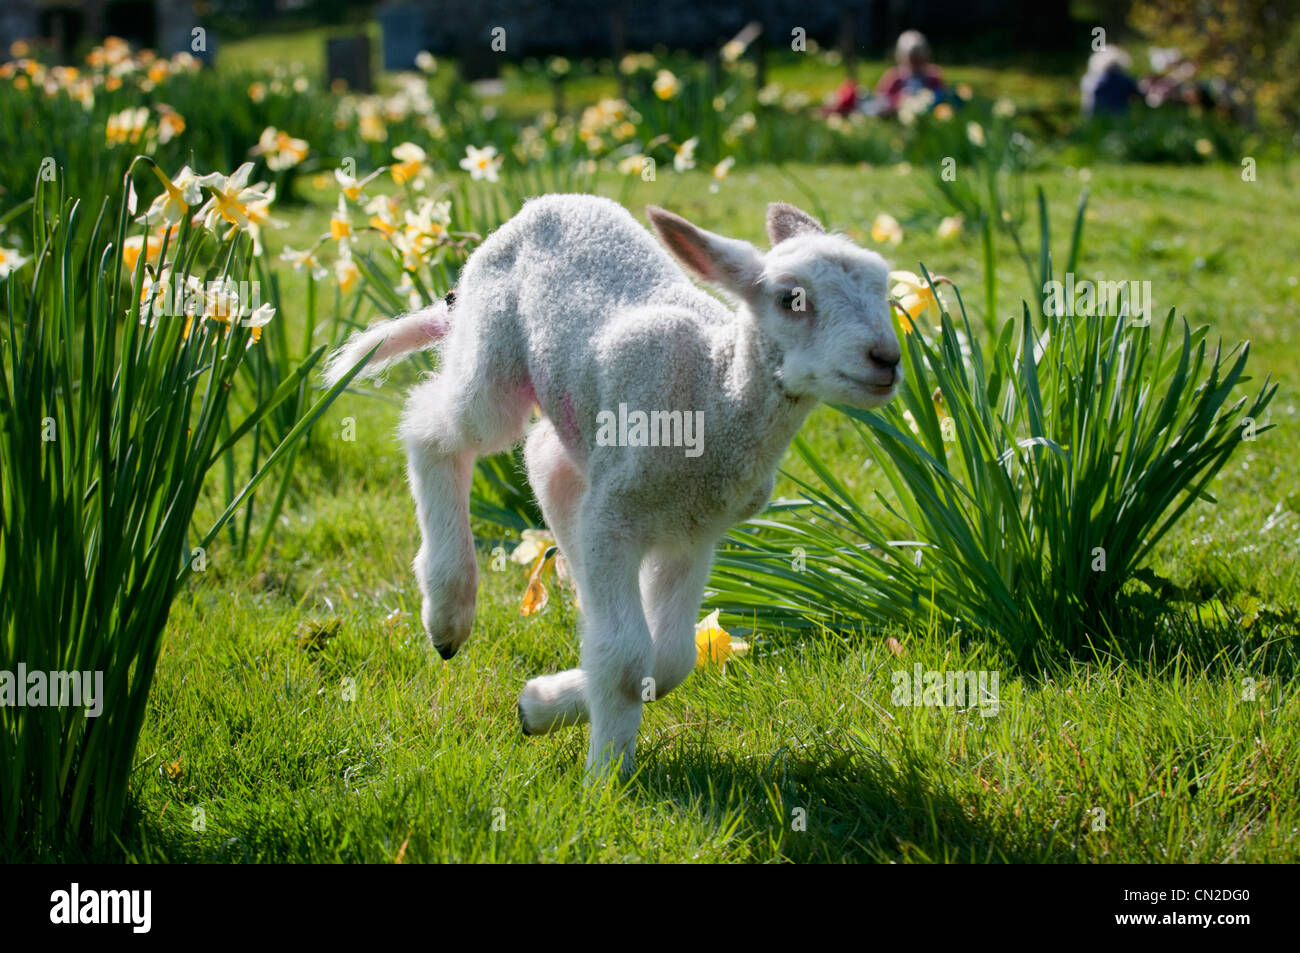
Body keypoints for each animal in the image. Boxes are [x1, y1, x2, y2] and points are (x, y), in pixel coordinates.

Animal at [324, 194, 901, 777]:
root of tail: (545, 203)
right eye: (790, 299)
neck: (713, 389)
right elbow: (626, 661)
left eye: (884, 289)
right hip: (492, 349)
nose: (888, 359)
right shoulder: (617, 518)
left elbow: (669, 661)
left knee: (544, 458)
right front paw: (604, 780)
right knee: (435, 429)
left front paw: (538, 706)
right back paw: (448, 612)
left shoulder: (695, 532)